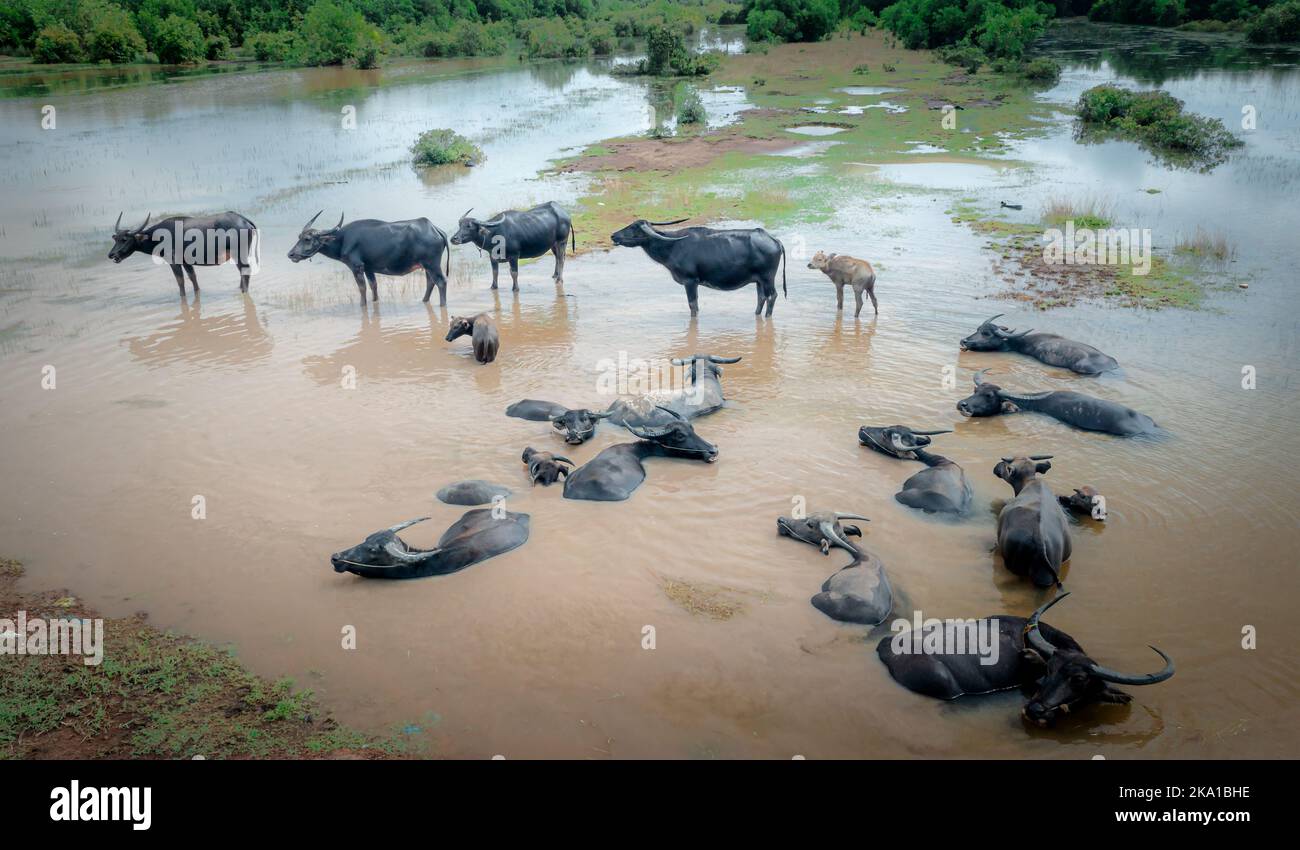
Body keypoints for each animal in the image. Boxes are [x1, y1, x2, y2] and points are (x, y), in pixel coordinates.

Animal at [109, 211, 259, 294]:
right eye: (115, 238)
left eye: (125, 239)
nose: (111, 255)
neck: (159, 236)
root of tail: (244, 221)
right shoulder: (186, 262)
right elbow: (193, 278)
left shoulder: (174, 262)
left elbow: (180, 281)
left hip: (239, 254)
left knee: (245, 270)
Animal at [287, 212, 450, 305]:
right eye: (299, 237)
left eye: (308, 239)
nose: (291, 254)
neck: (342, 240)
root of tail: (435, 229)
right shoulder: (368, 268)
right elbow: (373, 285)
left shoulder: (357, 267)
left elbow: (362, 288)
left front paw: (363, 305)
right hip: (426, 266)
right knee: (430, 282)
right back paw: (424, 301)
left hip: (432, 264)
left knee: (441, 282)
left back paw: (442, 305)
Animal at [611, 219, 786, 317]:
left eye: (633, 228)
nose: (613, 235)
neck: (673, 246)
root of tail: (774, 240)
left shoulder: (690, 281)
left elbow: (692, 305)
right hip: (758, 281)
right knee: (761, 298)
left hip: (768, 278)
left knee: (772, 296)